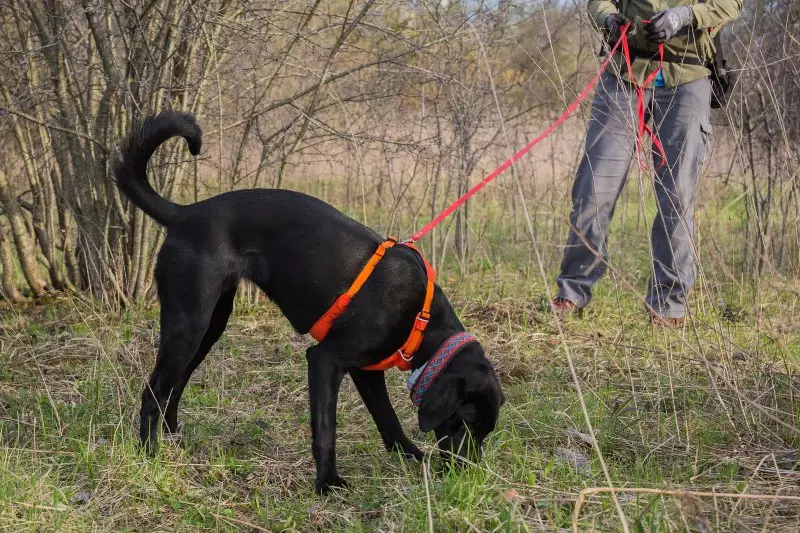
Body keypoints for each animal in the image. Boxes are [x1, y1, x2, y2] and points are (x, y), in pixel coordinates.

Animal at [112, 110, 504, 492]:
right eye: (465, 422)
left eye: (485, 430)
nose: (465, 473)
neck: (421, 320)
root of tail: (184, 213)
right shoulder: (325, 359)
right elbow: (326, 428)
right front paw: (328, 482)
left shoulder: (364, 370)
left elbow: (387, 419)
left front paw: (411, 457)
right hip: (188, 324)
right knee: (153, 392)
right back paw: (150, 454)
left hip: (210, 325)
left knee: (174, 386)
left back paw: (173, 438)